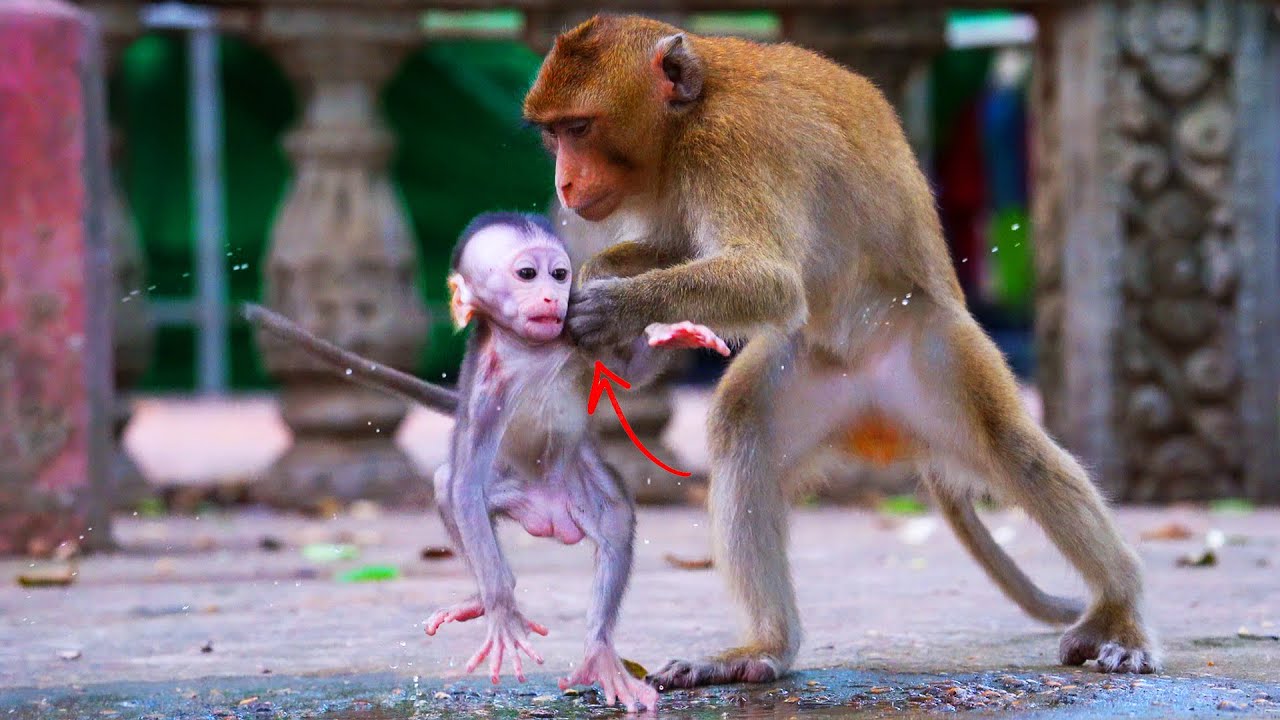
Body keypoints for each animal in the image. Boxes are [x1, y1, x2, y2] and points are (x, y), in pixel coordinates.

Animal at [245, 212, 730, 712]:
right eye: (527, 274)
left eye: (559, 274)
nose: (552, 297)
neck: (531, 349)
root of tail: (549, 517)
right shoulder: (485, 392)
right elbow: (464, 485)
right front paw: (501, 615)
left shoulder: (576, 335)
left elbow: (629, 374)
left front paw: (678, 333)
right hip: (513, 490)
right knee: (451, 486)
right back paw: (485, 599)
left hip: (577, 491)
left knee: (613, 517)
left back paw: (598, 650)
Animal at [522, 14, 1159, 688]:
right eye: (553, 134)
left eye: (579, 128)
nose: (564, 181)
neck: (685, 119)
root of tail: (882, 420)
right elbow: (681, 249)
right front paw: (593, 277)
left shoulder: (728, 145)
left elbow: (770, 280)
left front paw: (609, 307)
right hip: (813, 373)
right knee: (743, 427)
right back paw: (764, 647)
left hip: (935, 351)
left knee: (1012, 447)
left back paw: (1119, 610)